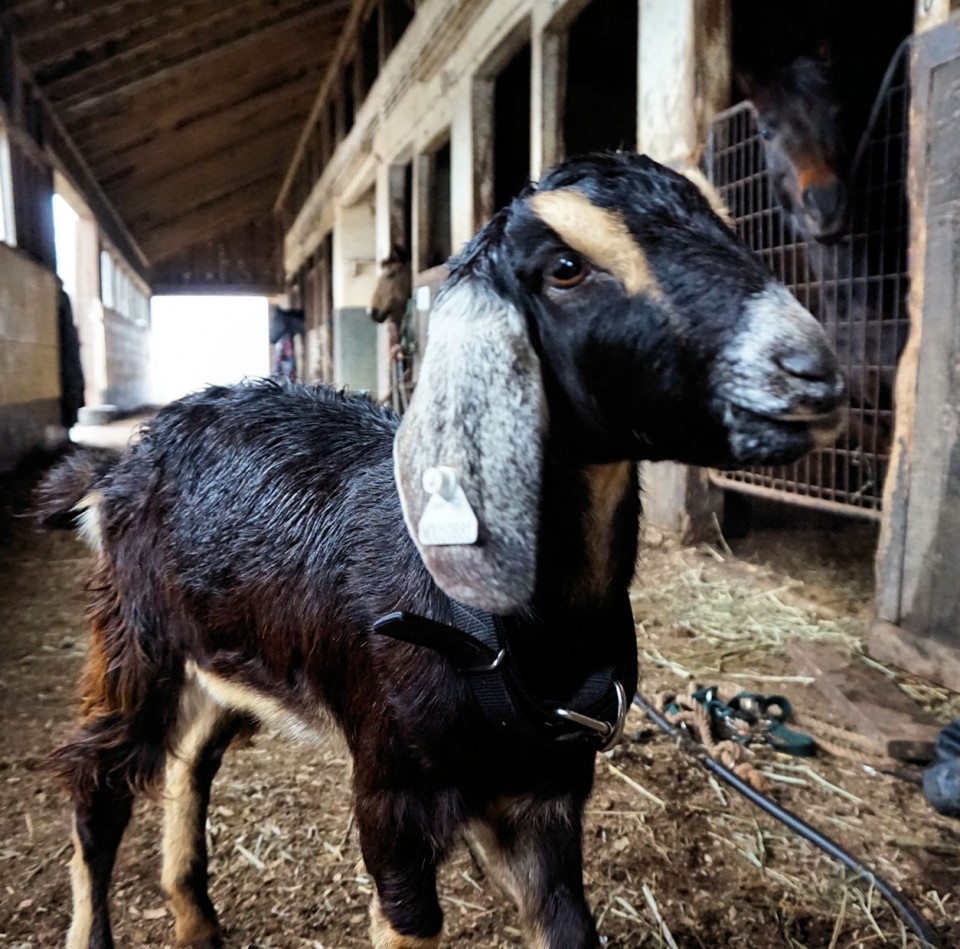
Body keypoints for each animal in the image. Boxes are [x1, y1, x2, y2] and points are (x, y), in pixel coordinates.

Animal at [38, 152, 844, 949]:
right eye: (565, 266)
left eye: (725, 222)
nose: (810, 371)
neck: (504, 629)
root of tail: (119, 467)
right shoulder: (393, 795)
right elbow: (409, 917)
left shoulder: (545, 798)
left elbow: (567, 922)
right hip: (136, 640)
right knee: (97, 783)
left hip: (229, 657)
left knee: (191, 760)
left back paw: (195, 917)